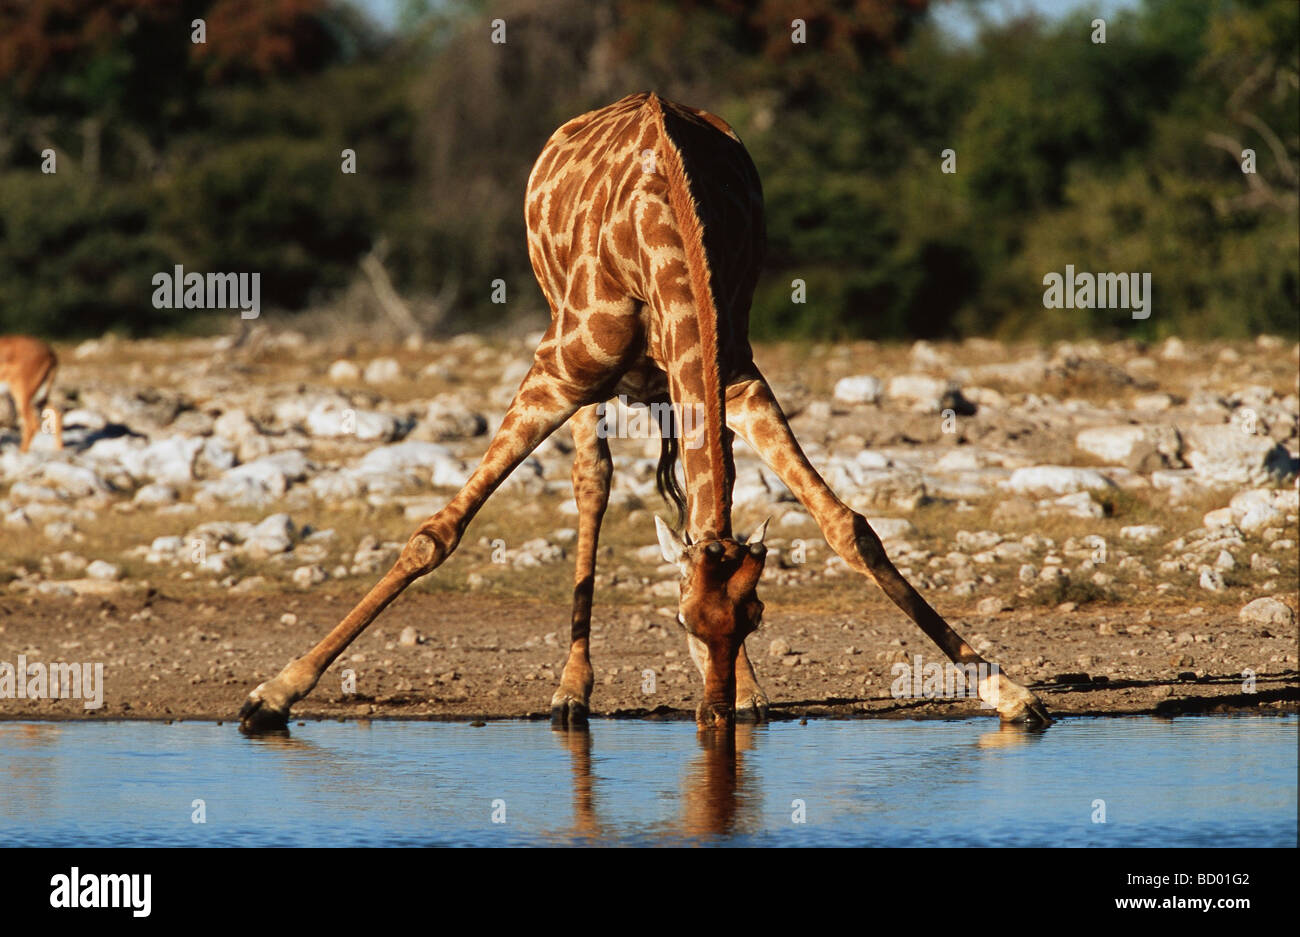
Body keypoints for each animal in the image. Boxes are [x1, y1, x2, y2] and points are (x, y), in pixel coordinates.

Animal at [238, 92, 1050, 732]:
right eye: (681, 618)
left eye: (756, 617)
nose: (714, 717)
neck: (664, 234)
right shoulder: (555, 371)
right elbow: (435, 535)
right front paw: (272, 694)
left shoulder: (738, 378)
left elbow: (849, 527)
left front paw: (1011, 694)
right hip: (572, 361)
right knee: (591, 484)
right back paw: (571, 691)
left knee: (693, 500)